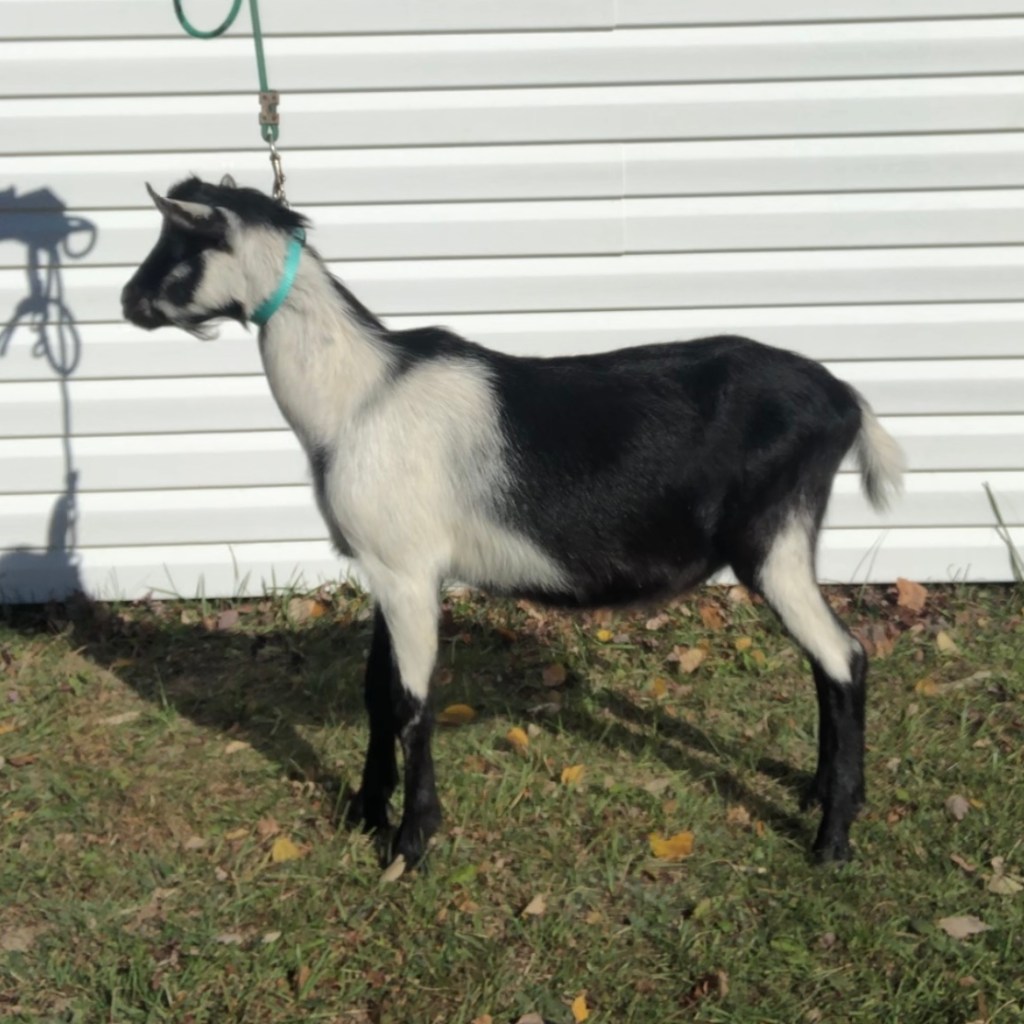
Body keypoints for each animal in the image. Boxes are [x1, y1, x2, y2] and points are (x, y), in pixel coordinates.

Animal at [122, 176, 904, 867]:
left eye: (178, 245)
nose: (128, 300)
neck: (357, 397)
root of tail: (846, 402)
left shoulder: (408, 573)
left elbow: (411, 702)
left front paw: (410, 843)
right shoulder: (385, 567)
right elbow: (376, 695)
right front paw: (366, 811)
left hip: (774, 540)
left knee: (844, 657)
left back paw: (832, 841)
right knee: (834, 660)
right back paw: (820, 798)